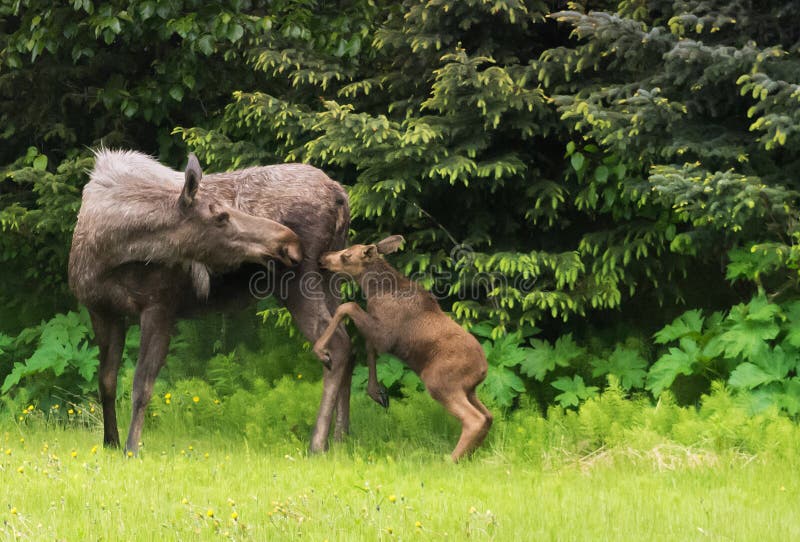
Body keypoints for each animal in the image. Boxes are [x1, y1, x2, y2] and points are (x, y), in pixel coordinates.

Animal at [69, 149, 354, 454]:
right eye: (221, 216)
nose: (290, 242)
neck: (107, 255)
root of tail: (341, 196)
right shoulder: (101, 310)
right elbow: (107, 381)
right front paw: (110, 441)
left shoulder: (159, 307)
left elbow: (141, 385)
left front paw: (131, 448)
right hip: (330, 277)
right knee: (349, 342)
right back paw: (341, 440)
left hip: (298, 282)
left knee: (337, 346)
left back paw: (318, 443)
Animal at [312, 235, 493, 461]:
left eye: (346, 256)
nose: (323, 257)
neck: (374, 289)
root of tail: (483, 370)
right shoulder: (378, 334)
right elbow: (368, 348)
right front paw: (377, 392)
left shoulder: (385, 335)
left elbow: (347, 306)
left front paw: (321, 351)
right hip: (469, 389)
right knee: (488, 416)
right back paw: (466, 457)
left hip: (439, 382)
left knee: (474, 419)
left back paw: (450, 460)